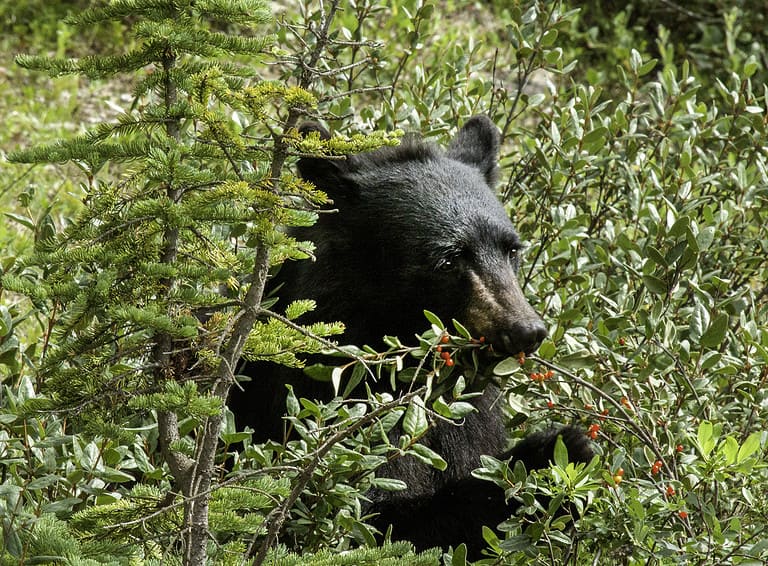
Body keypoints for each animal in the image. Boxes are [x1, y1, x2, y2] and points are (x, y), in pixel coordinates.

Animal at [228, 115, 592, 556]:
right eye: (449, 259)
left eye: (511, 250)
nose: (526, 331)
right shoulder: (333, 407)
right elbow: (377, 521)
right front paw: (552, 453)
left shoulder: (469, 415)